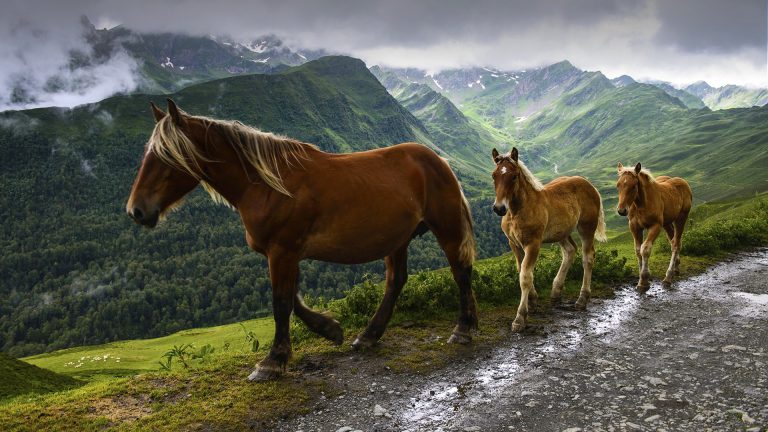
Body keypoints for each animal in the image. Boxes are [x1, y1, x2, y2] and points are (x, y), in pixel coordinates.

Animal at [126, 99, 478, 381]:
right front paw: (330, 329)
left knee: (460, 271)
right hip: (397, 239)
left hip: (445, 227)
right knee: (396, 281)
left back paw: (463, 329)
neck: (265, 185)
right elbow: (292, 298)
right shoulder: (283, 253)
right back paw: (368, 336)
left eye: (165, 156)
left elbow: (281, 303)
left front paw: (272, 361)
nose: (136, 210)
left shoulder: (283, 251)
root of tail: (438, 160)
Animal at [491, 148, 606, 332]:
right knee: (570, 251)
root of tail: (590, 185)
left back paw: (582, 300)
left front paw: (520, 318)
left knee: (588, 257)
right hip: (561, 233)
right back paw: (556, 292)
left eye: (514, 176)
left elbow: (525, 276)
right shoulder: (514, 244)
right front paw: (532, 301)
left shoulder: (533, 244)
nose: (499, 208)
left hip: (586, 227)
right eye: (494, 176)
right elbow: (521, 270)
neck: (517, 210)